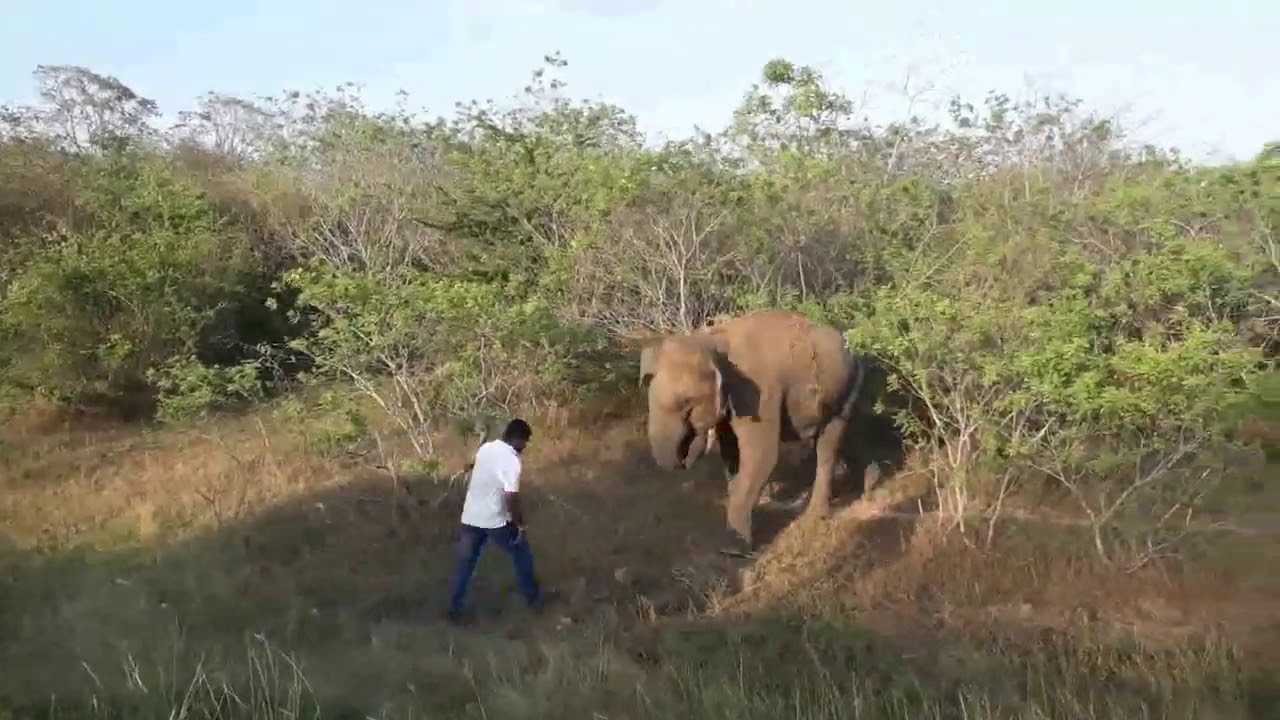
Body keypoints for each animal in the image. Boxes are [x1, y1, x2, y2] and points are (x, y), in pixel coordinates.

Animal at [638, 309, 868, 557]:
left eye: (688, 406)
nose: (684, 458)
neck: (711, 339)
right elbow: (731, 453)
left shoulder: (759, 393)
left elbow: (762, 455)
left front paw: (733, 550)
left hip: (843, 388)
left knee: (828, 445)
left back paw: (816, 517)